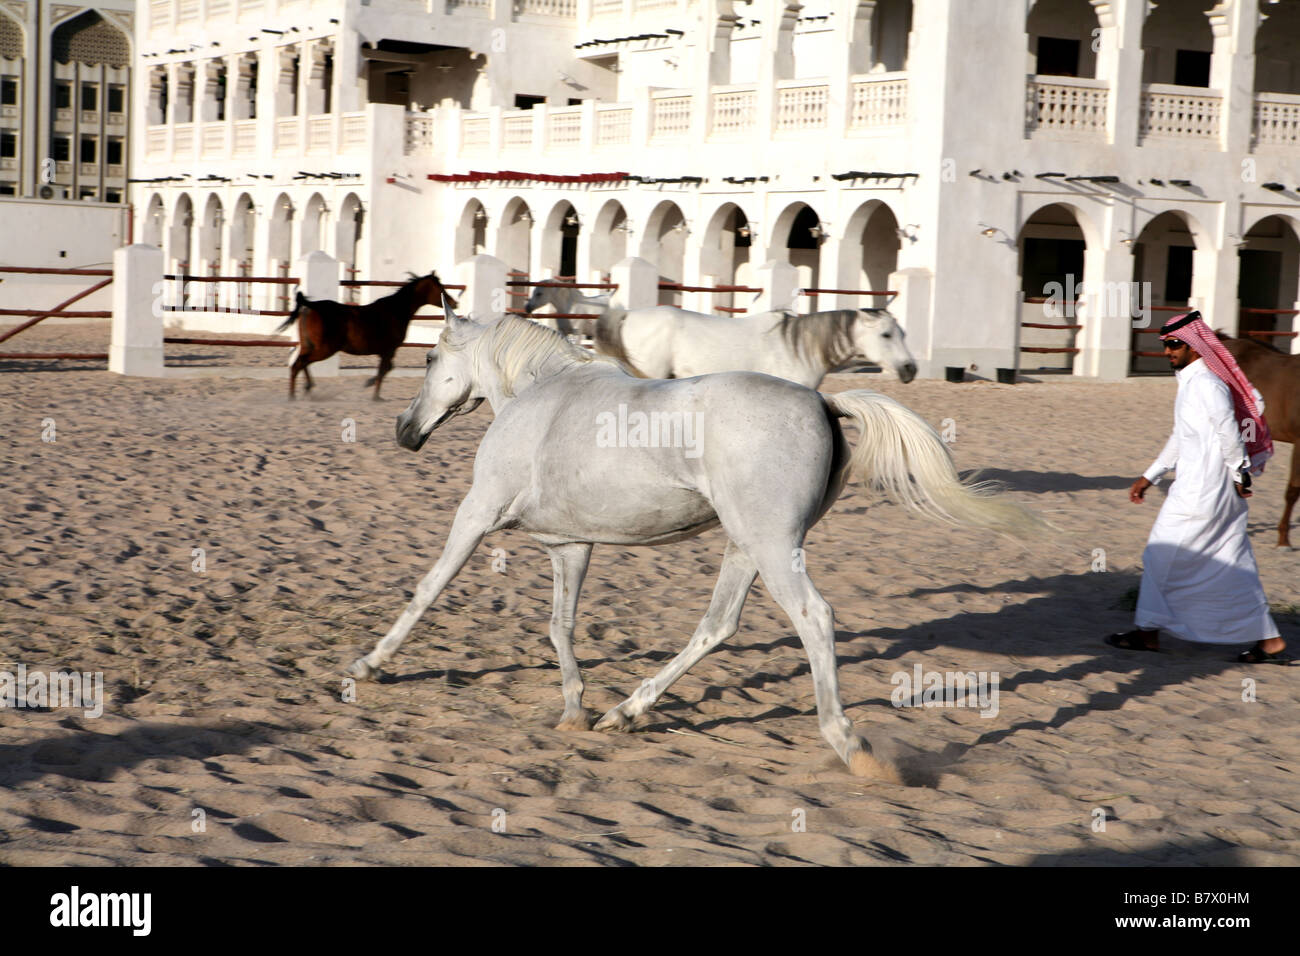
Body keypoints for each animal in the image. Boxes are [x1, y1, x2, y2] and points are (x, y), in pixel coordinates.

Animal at [275, 271, 457, 400]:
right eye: (440, 288)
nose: (454, 303)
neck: (396, 311)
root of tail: (310, 306)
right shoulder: (389, 349)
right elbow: (384, 369)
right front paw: (375, 394)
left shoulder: (386, 351)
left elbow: (387, 368)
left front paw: (370, 385)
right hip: (324, 349)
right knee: (298, 364)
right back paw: (293, 396)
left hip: (310, 346)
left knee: (301, 363)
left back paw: (308, 389)